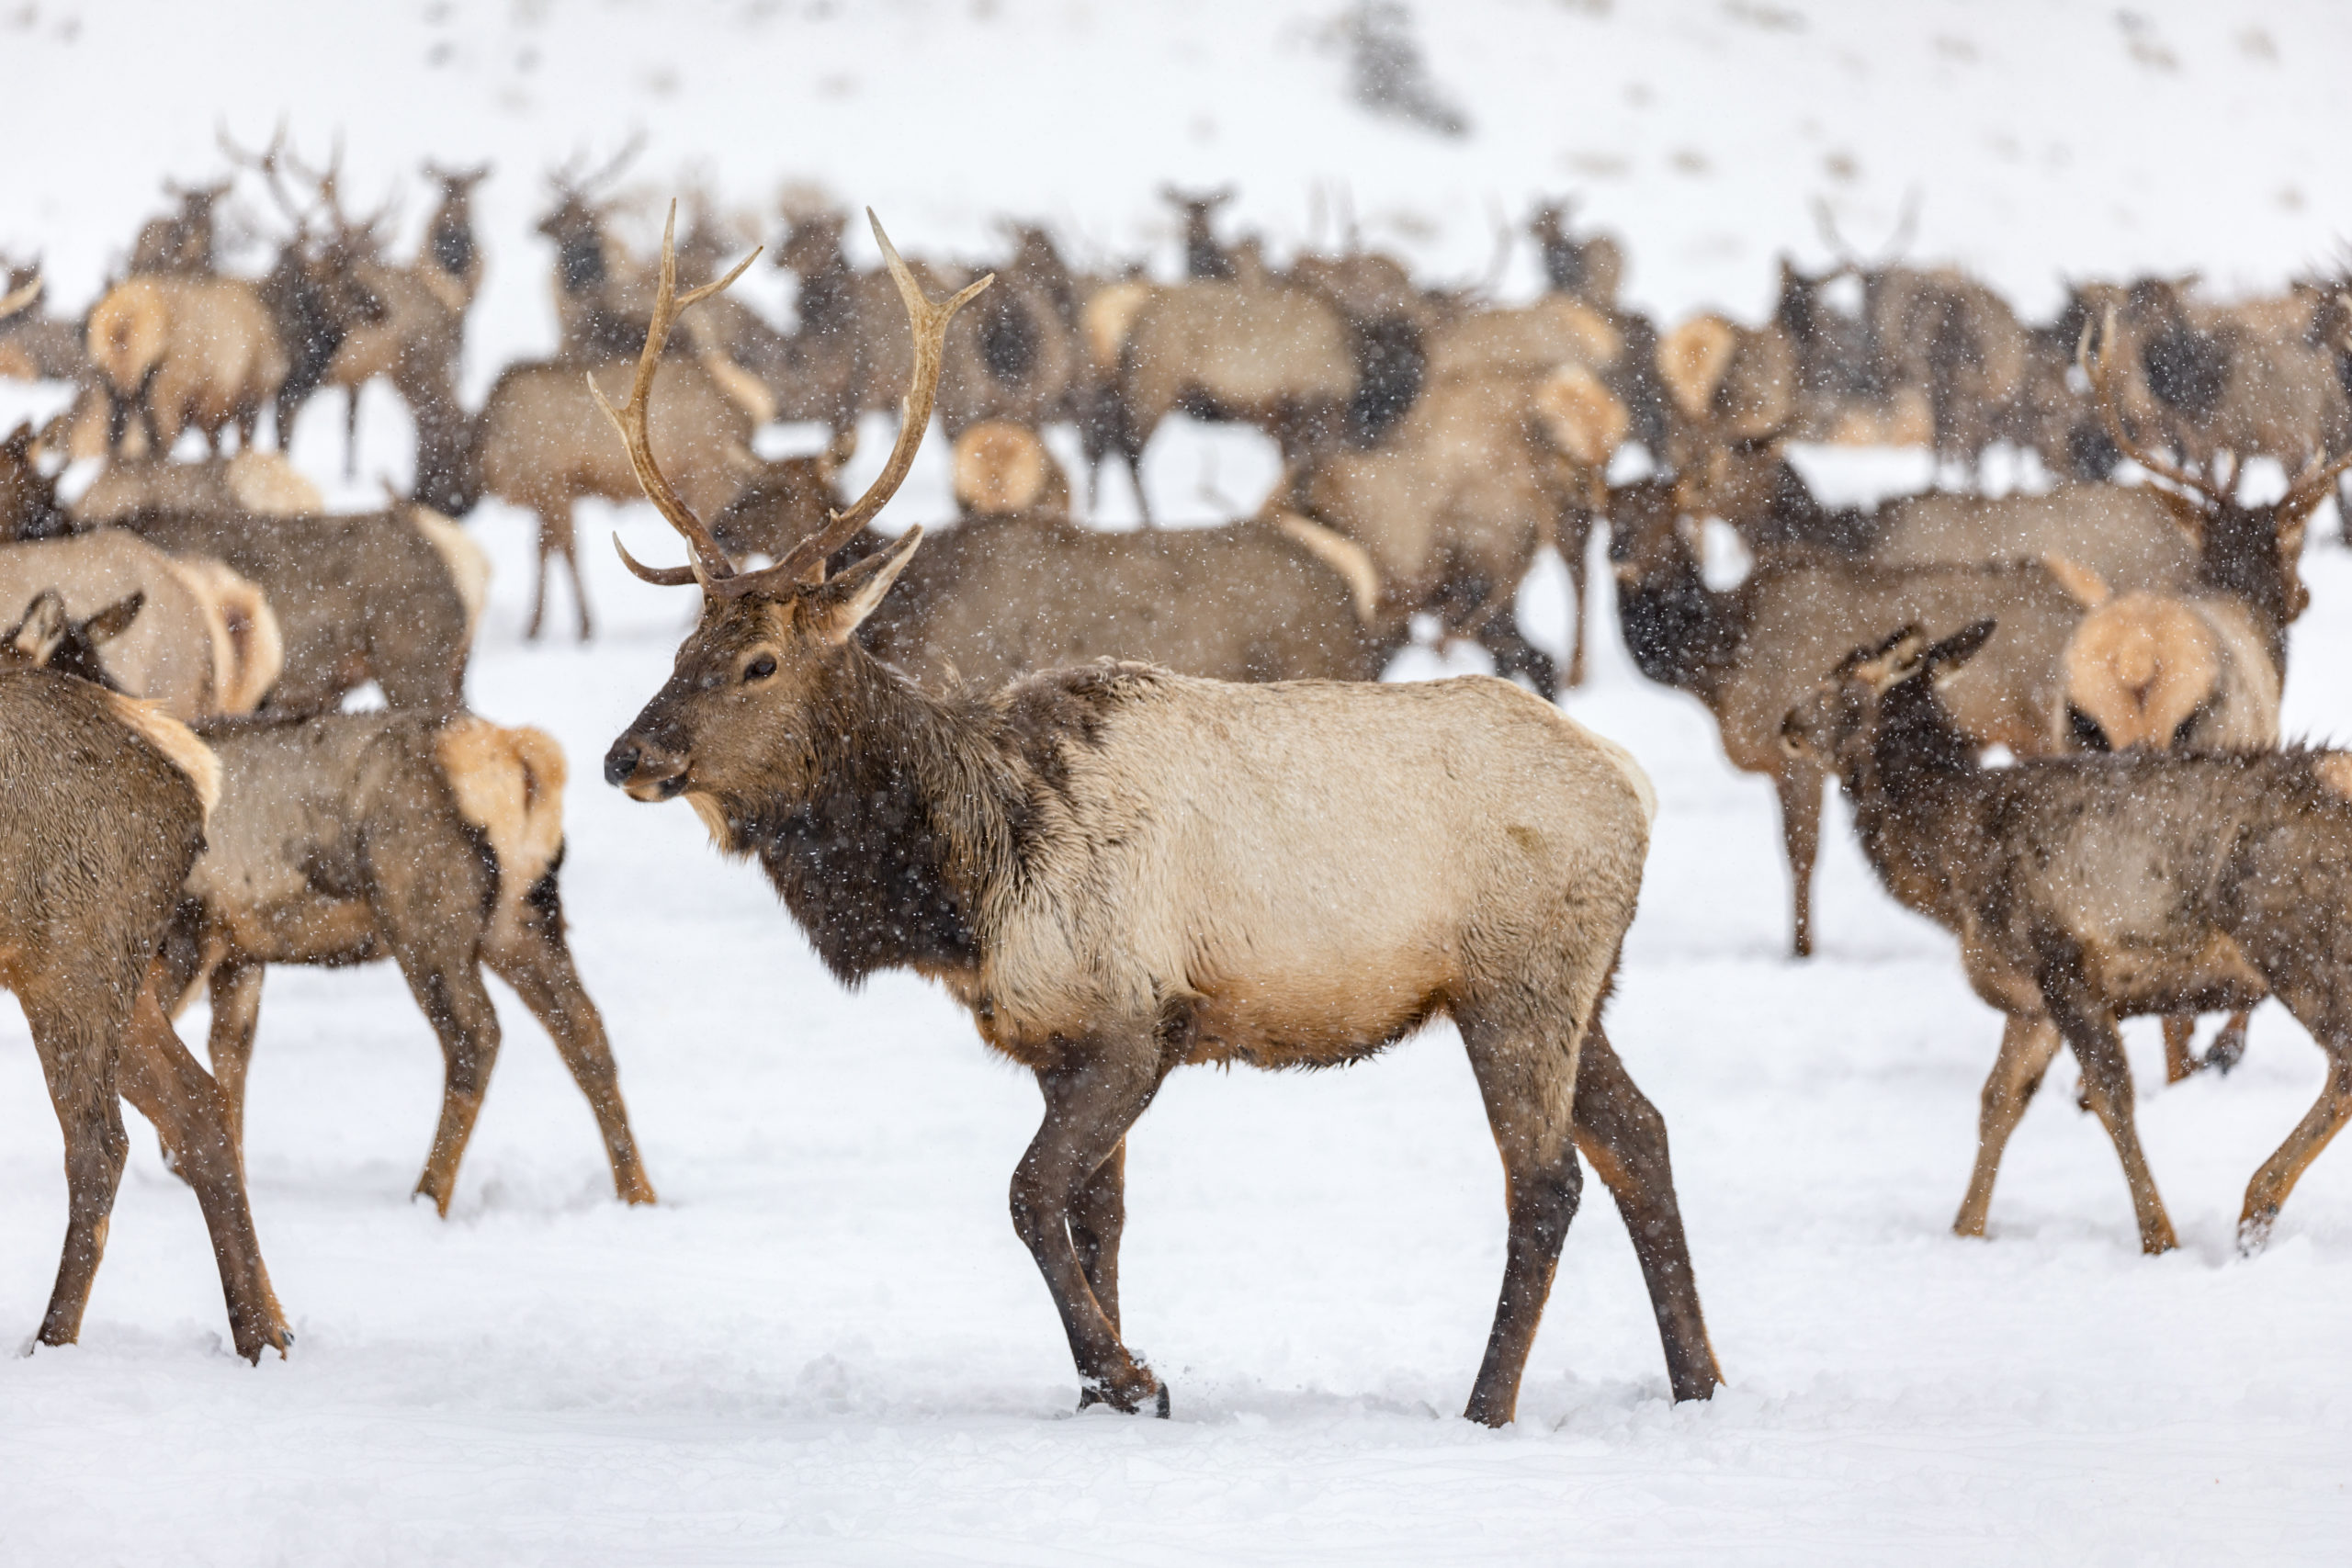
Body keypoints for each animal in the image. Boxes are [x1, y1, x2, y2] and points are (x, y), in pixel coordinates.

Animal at [0, 624, 289, 1361]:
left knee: (102, 1146)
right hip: (106, 983)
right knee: (200, 1106)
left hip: (74, 967)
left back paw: (51, 1341)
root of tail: (192, 771)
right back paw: (264, 1333)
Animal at [595, 207, 1721, 1424]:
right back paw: (1696, 1380)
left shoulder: (1139, 1020)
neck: (967, 883)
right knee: (1643, 1137)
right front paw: (1108, 1394)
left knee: (1547, 1178)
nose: (626, 755)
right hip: (1577, 986)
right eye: (683, 648)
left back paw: (1487, 1404)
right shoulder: (1054, 1038)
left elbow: (1027, 1196)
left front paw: (1134, 1375)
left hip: (1519, 979)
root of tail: (1629, 784)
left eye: (758, 661)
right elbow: (1096, 1218)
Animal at [1782, 620, 2352, 1256]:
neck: (1950, 867)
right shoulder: (2032, 1001)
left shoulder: (2062, 960)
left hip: (2292, 937)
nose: (1786, 726)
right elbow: (1999, 1100)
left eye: (1839, 679)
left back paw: (2258, 1206)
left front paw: (2160, 1239)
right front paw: (1965, 1231)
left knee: (2345, 1059)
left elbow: (2110, 1094)